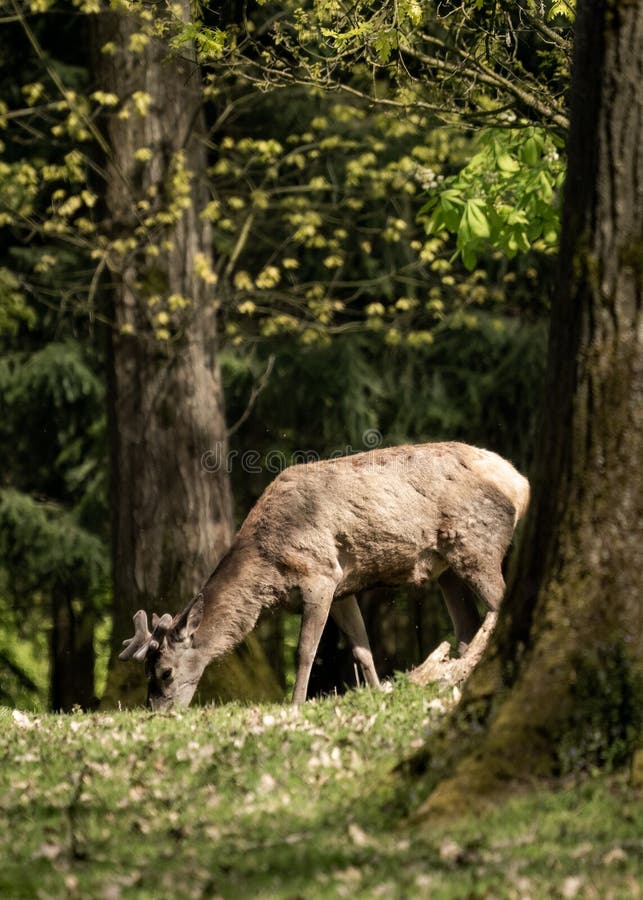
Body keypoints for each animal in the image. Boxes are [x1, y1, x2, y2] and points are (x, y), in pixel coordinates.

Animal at [120, 442, 530, 709]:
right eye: (146, 672)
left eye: (166, 672)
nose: (156, 712)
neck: (269, 566)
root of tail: (521, 484)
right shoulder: (344, 588)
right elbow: (362, 649)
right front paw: (377, 693)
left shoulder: (320, 574)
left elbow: (306, 651)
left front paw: (296, 704)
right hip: (447, 566)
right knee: (467, 627)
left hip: (477, 544)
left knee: (499, 607)